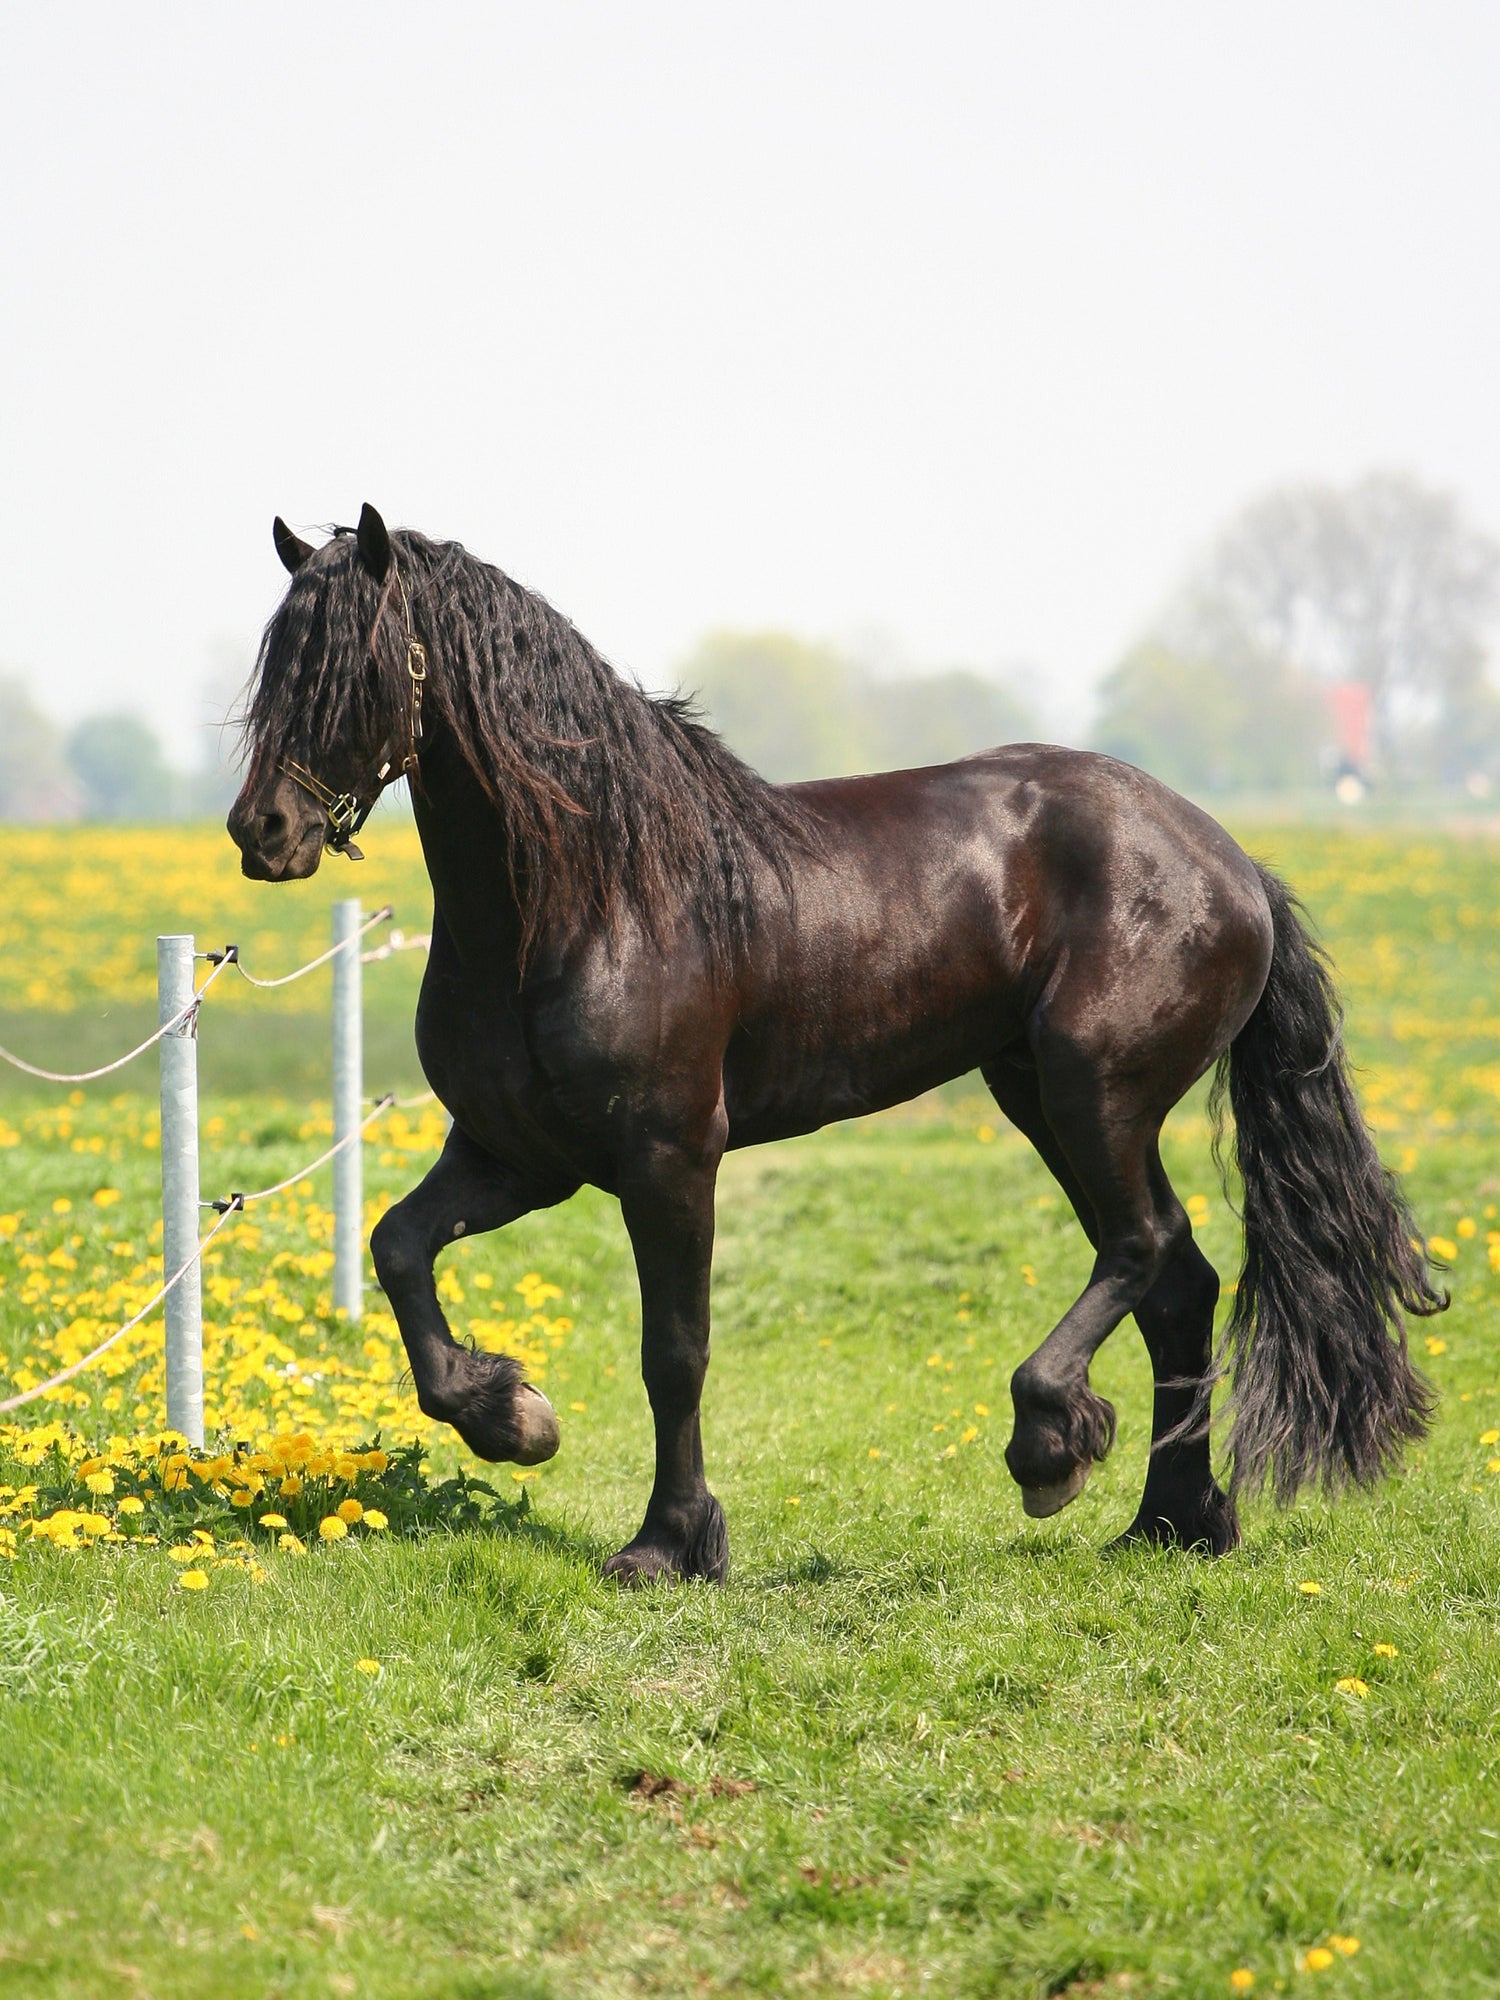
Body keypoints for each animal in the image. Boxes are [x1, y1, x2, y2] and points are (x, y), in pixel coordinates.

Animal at [227, 504, 1442, 1582]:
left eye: (349, 666)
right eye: (275, 664)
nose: (261, 832)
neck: (588, 897)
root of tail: (1227, 862)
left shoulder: (667, 1159)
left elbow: (674, 1353)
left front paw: (669, 1545)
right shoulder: (516, 1154)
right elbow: (397, 1245)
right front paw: (513, 1416)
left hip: (1094, 1090)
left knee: (1145, 1246)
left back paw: (1051, 1446)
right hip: (1042, 1096)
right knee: (1175, 1280)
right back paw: (1173, 1522)